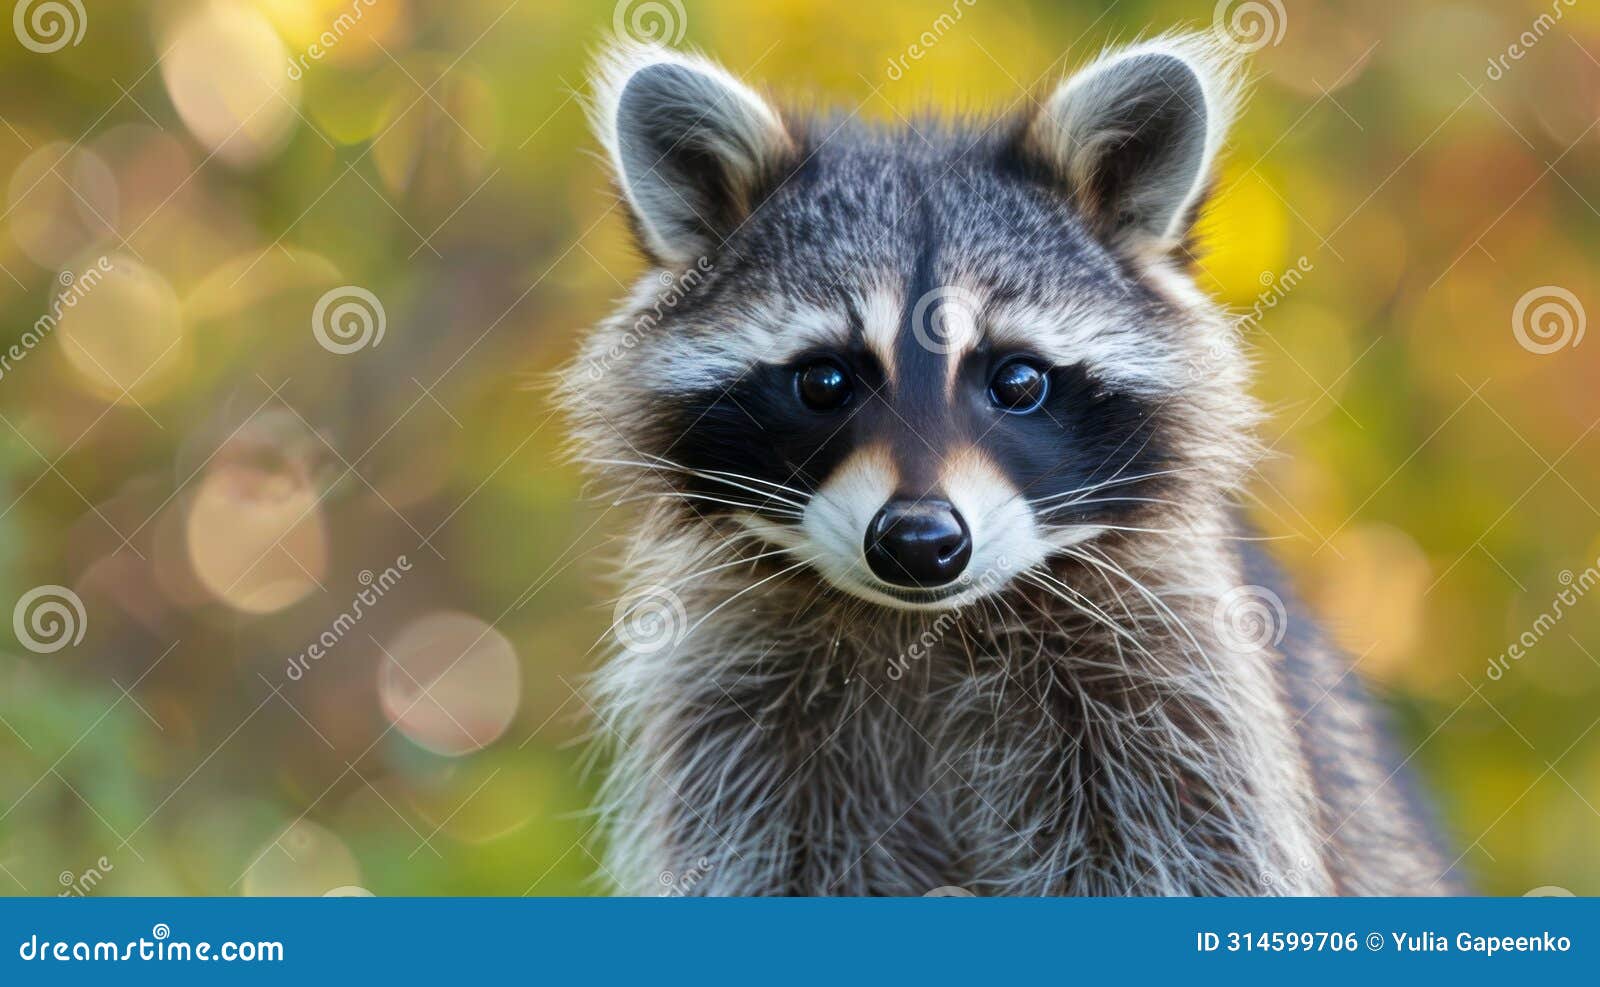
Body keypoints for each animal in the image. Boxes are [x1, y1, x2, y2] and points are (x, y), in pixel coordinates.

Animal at [562, 32, 1462, 896]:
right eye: (824, 381)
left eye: (1018, 380)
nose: (918, 542)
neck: (926, 627)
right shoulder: (734, 718)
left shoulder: (1181, 698)